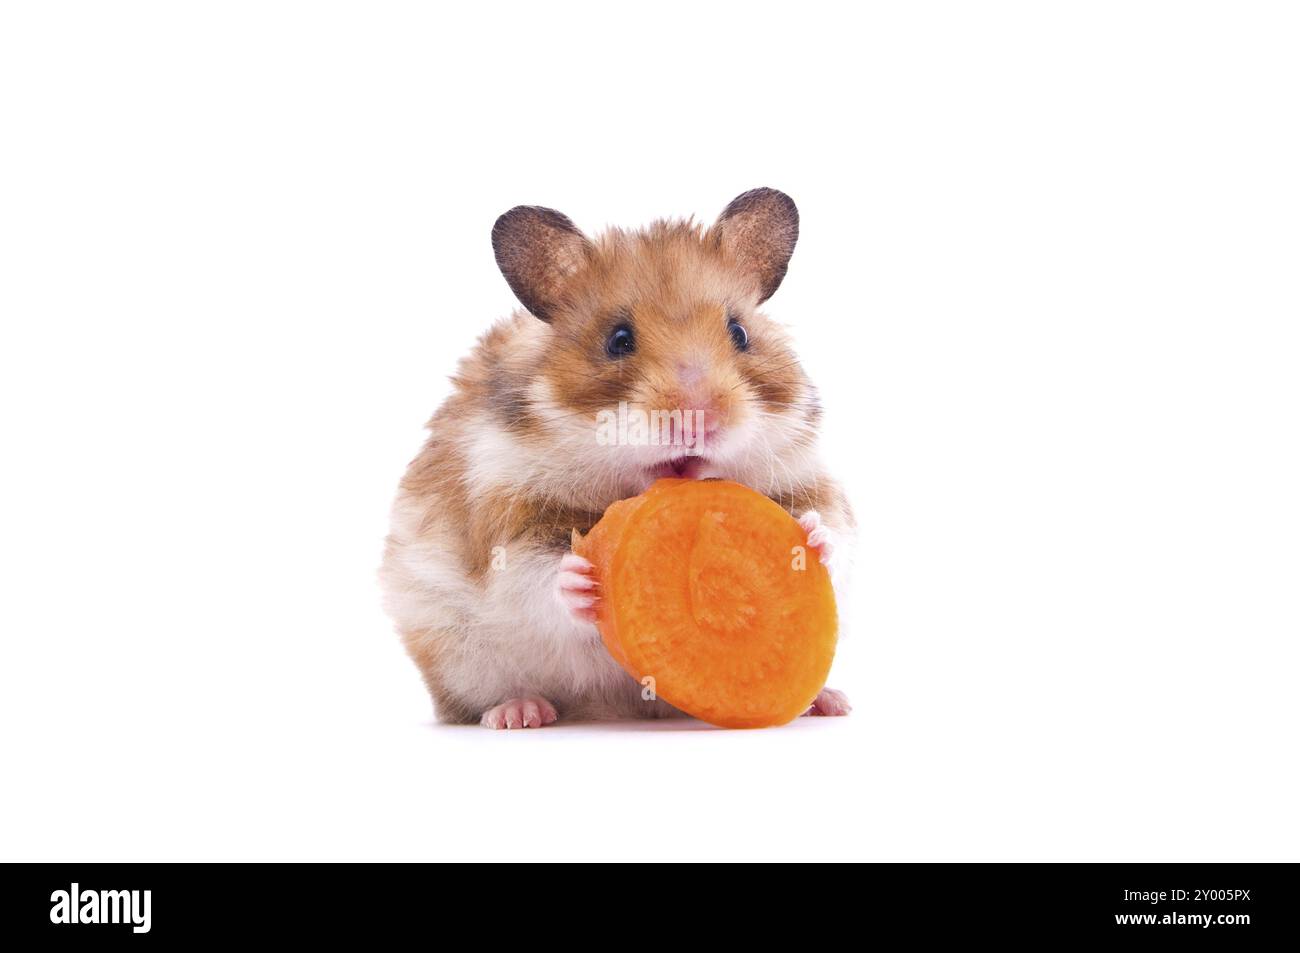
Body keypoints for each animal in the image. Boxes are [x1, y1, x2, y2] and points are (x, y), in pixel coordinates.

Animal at [381, 188, 854, 728]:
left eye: (739, 332)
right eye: (618, 340)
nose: (699, 419)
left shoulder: (806, 475)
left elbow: (835, 531)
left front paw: (812, 539)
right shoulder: (506, 507)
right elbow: (534, 575)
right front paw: (582, 580)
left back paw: (828, 702)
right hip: (454, 652)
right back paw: (519, 713)